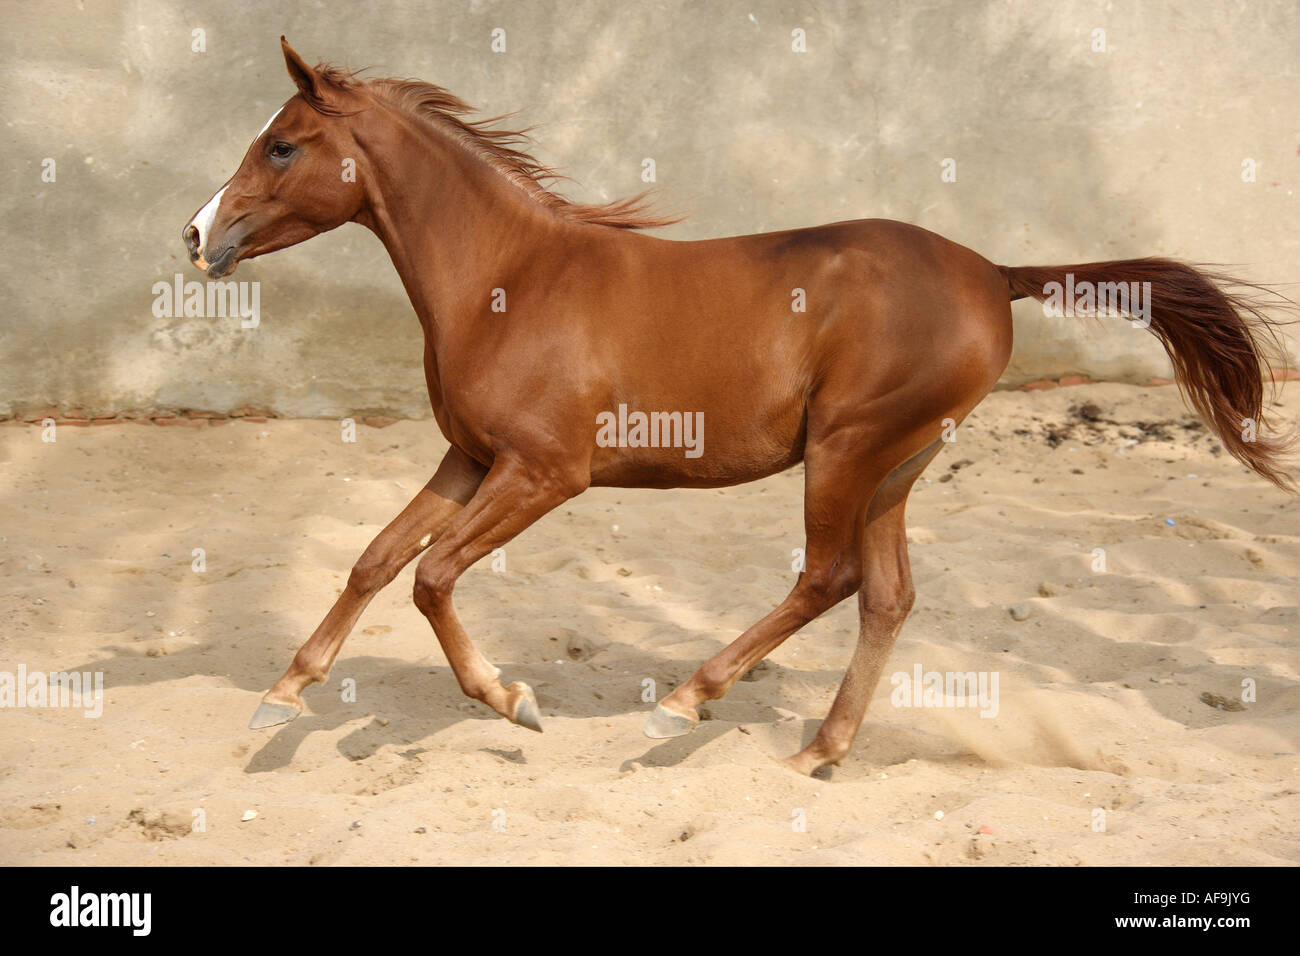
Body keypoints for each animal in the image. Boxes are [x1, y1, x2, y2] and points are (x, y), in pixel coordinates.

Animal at [182, 38, 1294, 775]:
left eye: (281, 146)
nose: (195, 236)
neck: (509, 278)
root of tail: (994, 272)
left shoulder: (546, 471)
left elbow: (433, 574)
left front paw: (511, 700)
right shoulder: (470, 457)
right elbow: (377, 557)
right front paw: (282, 693)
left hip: (847, 449)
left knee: (828, 576)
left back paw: (681, 705)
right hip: (895, 464)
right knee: (887, 595)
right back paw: (820, 750)